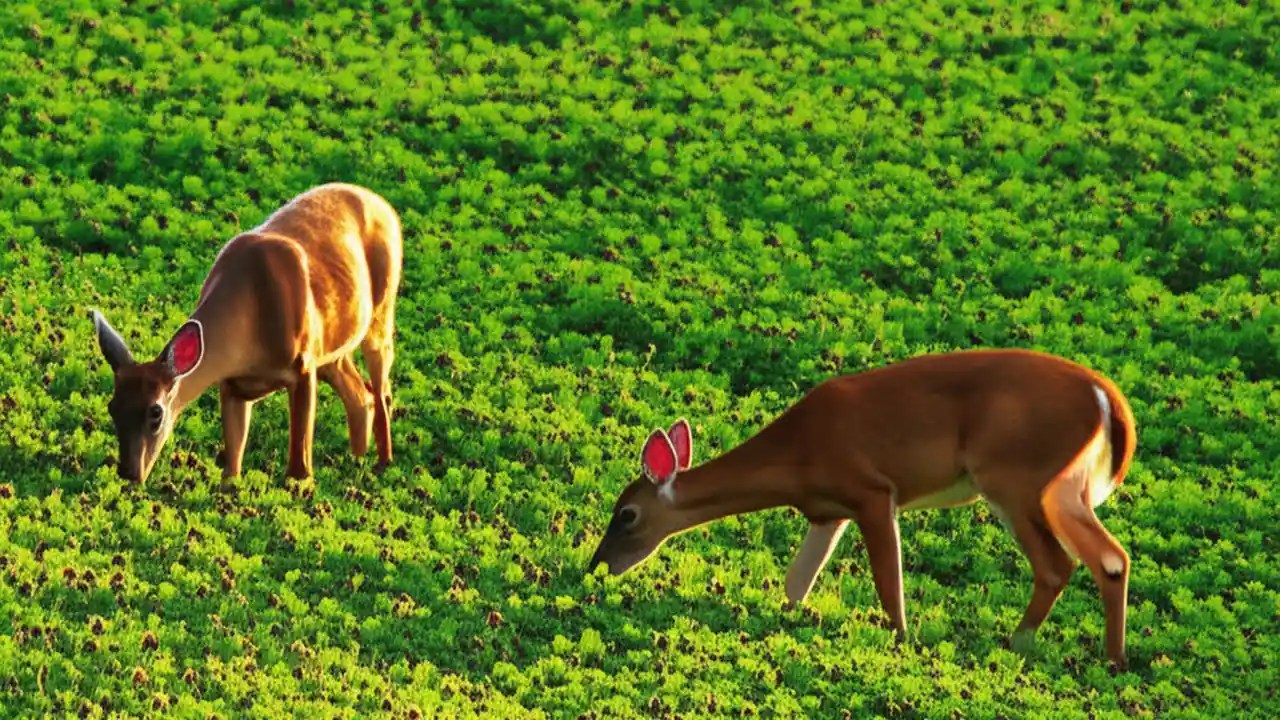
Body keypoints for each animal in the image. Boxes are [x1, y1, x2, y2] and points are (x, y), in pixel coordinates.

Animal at [91, 183, 402, 485]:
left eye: (155, 412)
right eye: (112, 407)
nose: (128, 473)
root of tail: (383, 204)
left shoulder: (303, 364)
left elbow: (299, 468)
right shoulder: (232, 384)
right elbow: (232, 467)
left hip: (381, 312)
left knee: (382, 386)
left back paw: (383, 463)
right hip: (332, 345)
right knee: (360, 395)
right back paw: (357, 460)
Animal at [588, 349, 1137, 666]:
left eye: (626, 515)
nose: (597, 567)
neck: (798, 455)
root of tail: (1106, 398)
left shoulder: (873, 492)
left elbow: (887, 582)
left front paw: (901, 640)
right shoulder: (827, 511)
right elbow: (795, 583)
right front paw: (784, 623)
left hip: (1014, 475)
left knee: (1057, 564)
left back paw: (1015, 642)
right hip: (1063, 487)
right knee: (1111, 558)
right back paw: (1114, 661)